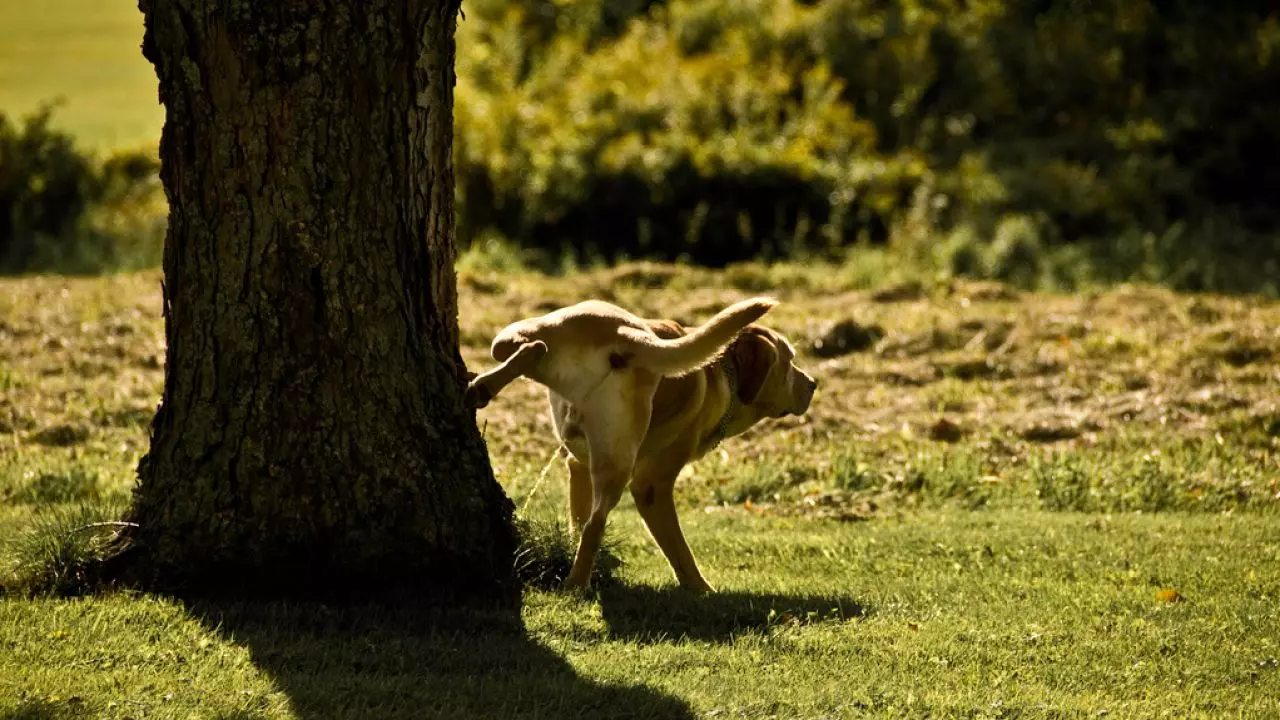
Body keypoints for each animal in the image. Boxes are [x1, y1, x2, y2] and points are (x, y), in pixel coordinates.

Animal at [465, 295, 814, 589]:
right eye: (789, 362)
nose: (813, 383)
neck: (723, 371)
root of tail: (628, 335)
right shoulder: (652, 486)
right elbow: (679, 549)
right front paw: (702, 590)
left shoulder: (578, 465)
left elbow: (577, 517)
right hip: (620, 460)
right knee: (596, 524)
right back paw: (577, 586)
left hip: (523, 335)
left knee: (527, 350)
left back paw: (485, 384)